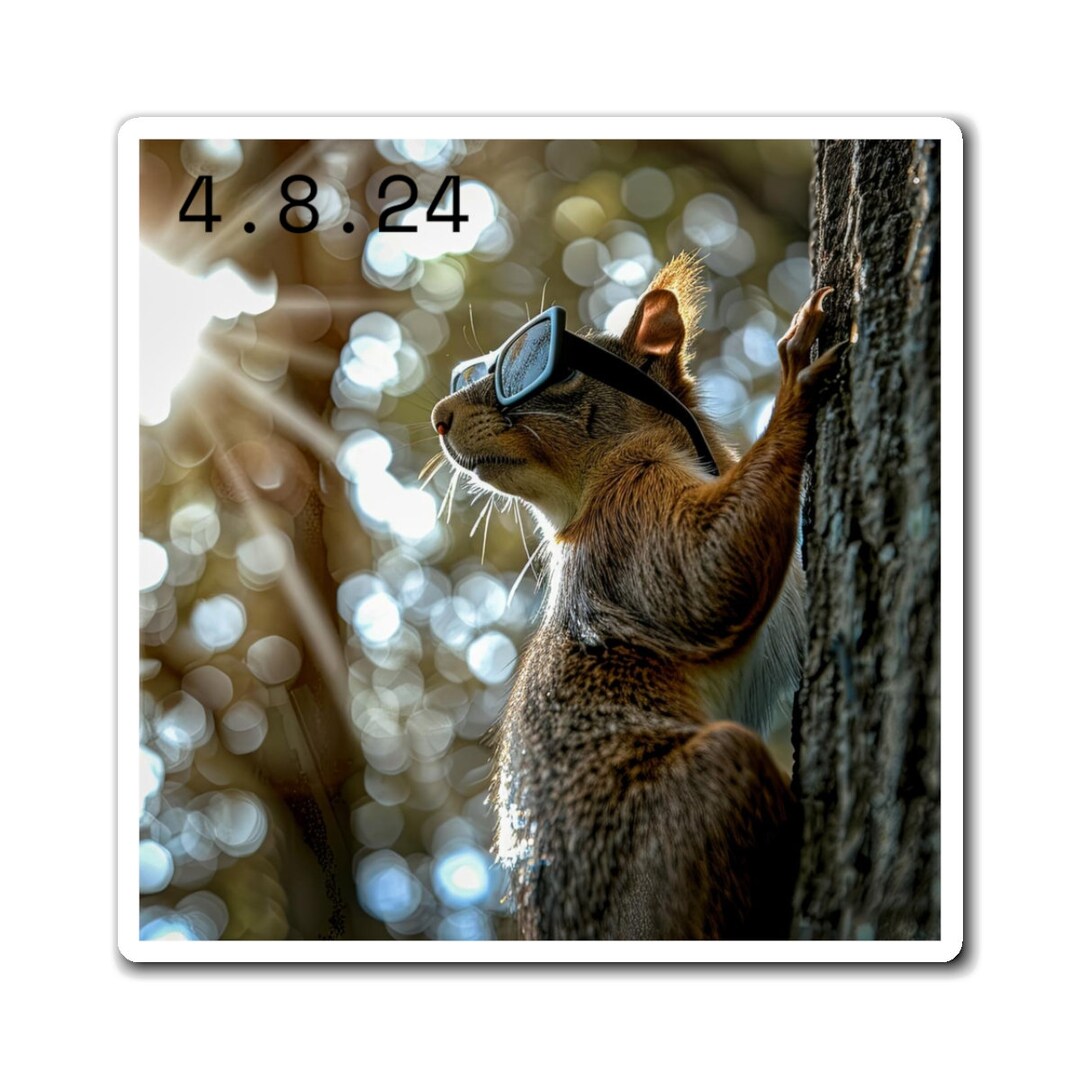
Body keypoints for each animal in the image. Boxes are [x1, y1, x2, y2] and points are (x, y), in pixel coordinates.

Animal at [431, 254, 842, 939]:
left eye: (552, 366)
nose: (439, 416)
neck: (581, 503)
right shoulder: (629, 529)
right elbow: (704, 578)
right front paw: (794, 387)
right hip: (694, 818)